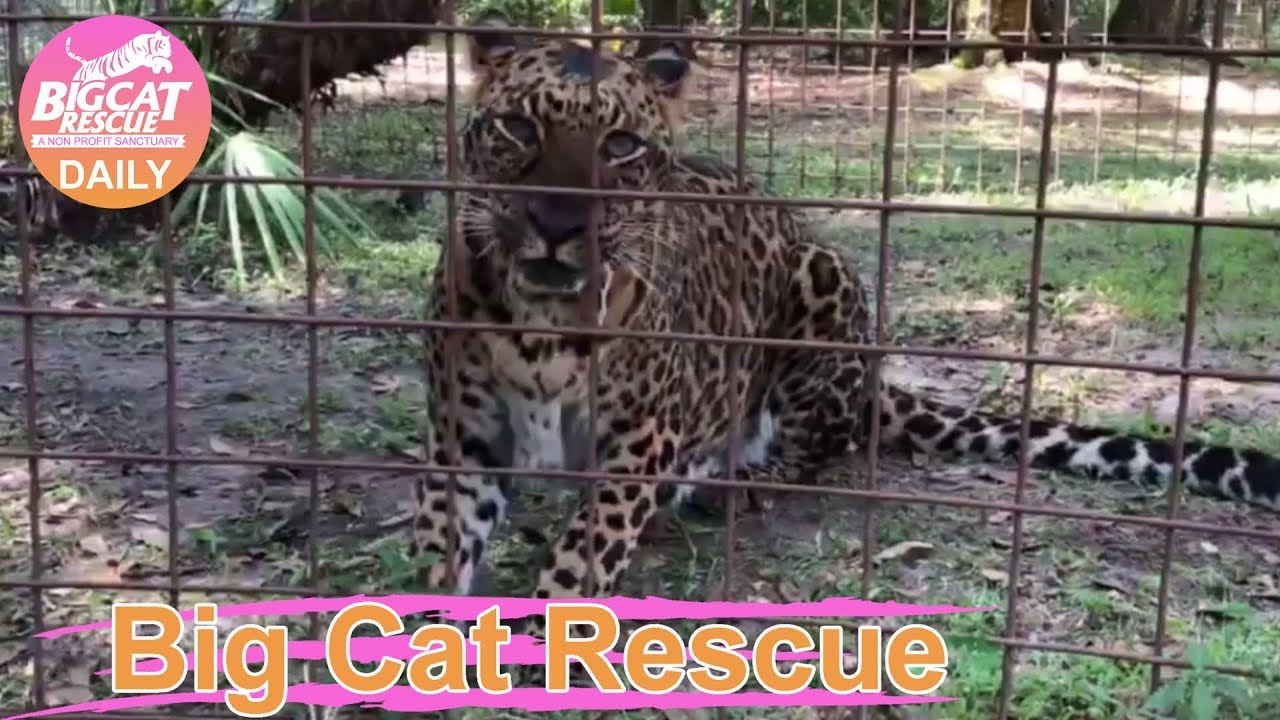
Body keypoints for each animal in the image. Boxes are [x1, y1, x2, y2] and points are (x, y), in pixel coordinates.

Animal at [410, 10, 1280, 667]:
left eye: (620, 145)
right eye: (518, 128)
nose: (559, 226)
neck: (542, 325)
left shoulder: (639, 442)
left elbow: (582, 552)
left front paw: (537, 632)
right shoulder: (463, 435)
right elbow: (438, 539)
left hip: (822, 280)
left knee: (821, 442)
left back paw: (735, 479)